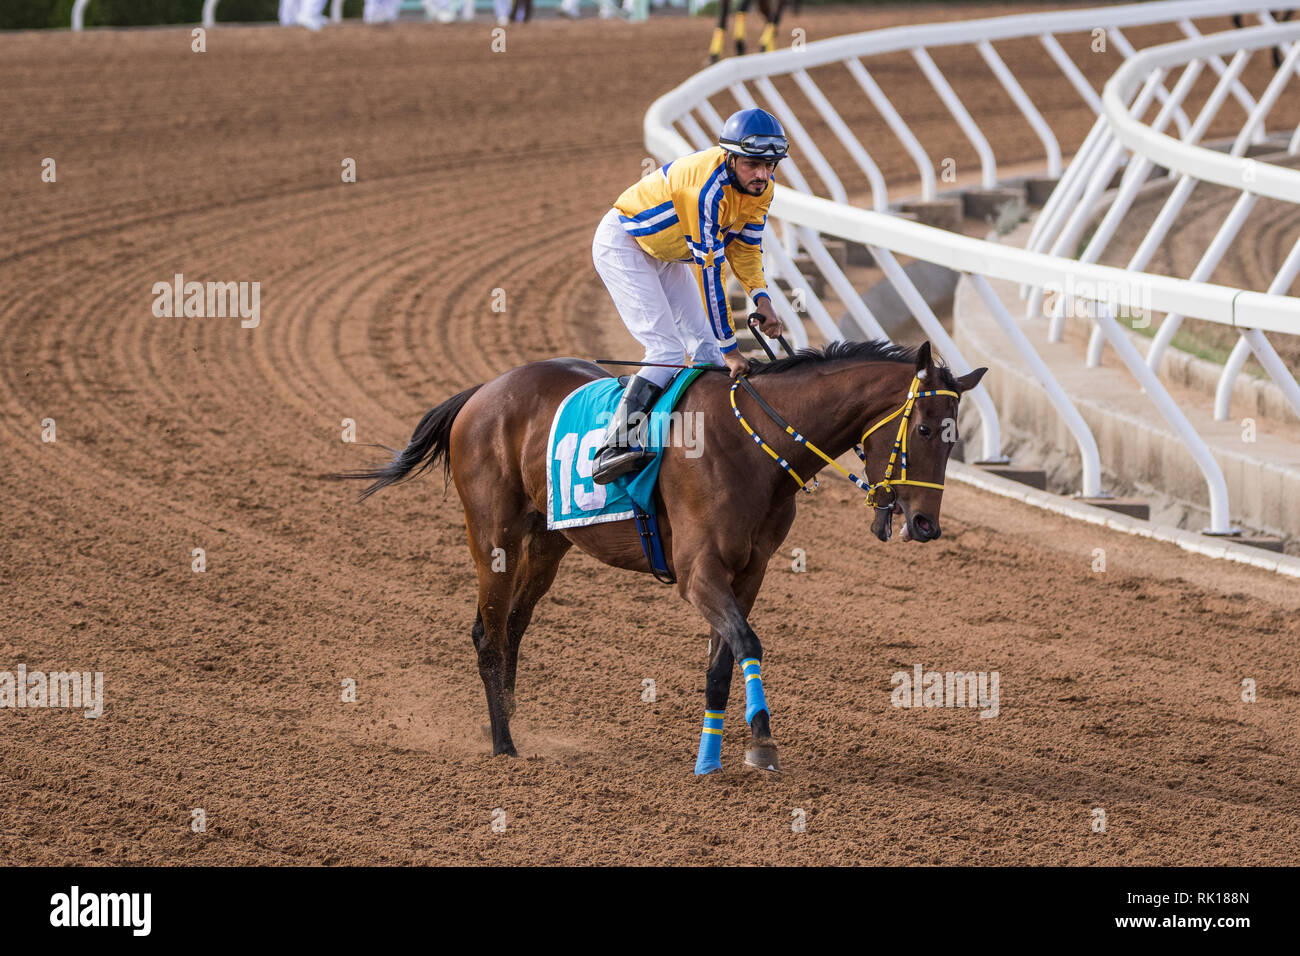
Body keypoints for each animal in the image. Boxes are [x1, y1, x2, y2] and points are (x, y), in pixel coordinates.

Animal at [340, 340, 985, 773]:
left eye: (956, 438)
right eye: (925, 429)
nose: (925, 525)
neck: (755, 445)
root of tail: (482, 392)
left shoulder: (747, 574)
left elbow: (722, 661)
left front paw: (711, 757)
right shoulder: (698, 573)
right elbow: (749, 642)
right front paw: (762, 742)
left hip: (549, 541)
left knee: (515, 625)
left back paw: (507, 717)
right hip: (493, 535)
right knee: (487, 632)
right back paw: (503, 743)